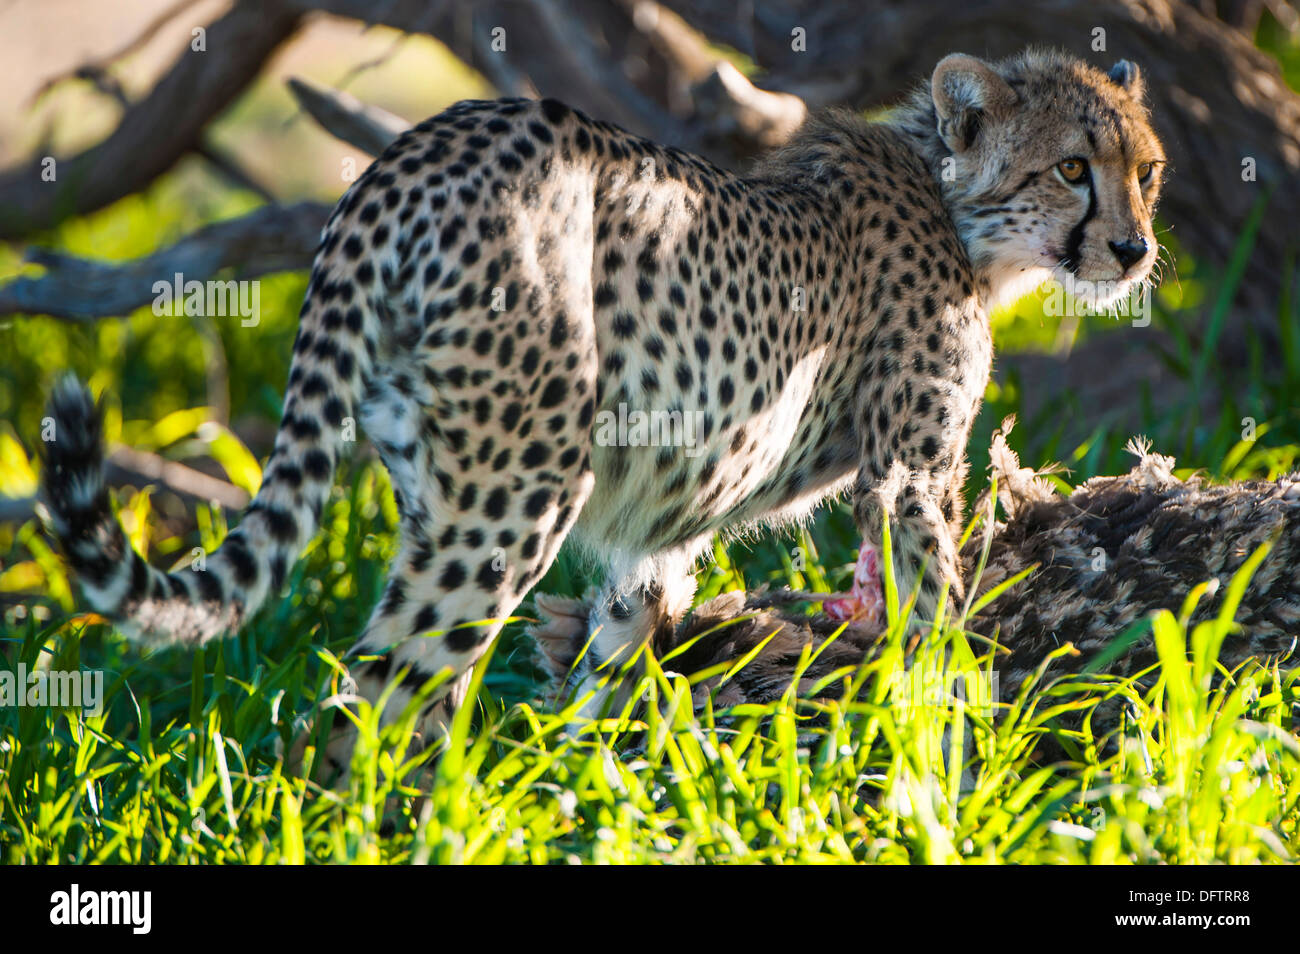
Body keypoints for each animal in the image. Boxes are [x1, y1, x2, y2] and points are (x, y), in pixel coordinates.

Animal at [40, 48, 1165, 775]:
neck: (956, 206)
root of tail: (416, 146)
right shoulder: (908, 477)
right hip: (512, 495)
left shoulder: (664, 529)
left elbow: (620, 643)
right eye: (1073, 167)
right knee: (366, 703)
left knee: (407, 692)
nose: (1134, 251)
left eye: (1145, 172)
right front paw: (966, 756)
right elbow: (938, 620)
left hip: (436, 481)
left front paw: (581, 788)